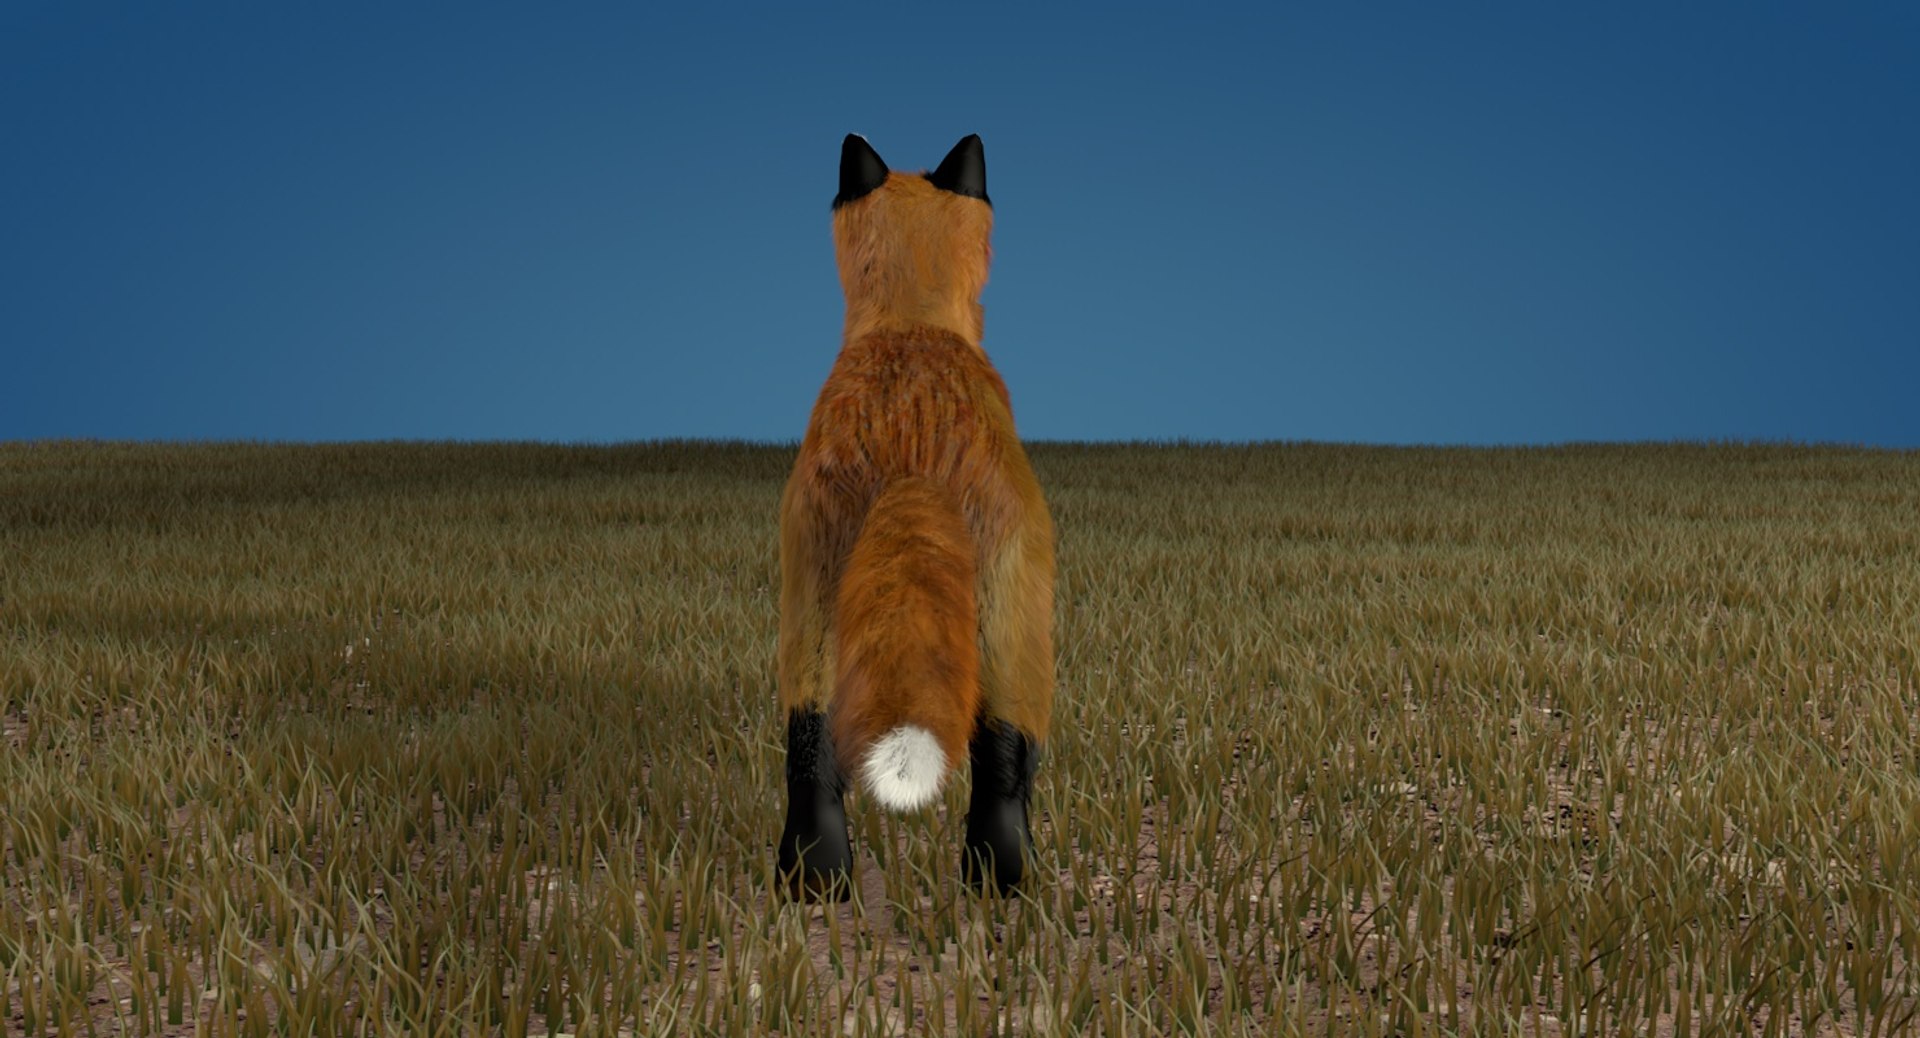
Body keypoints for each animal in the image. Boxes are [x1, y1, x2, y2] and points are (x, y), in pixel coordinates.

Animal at [776, 133, 1056, 899]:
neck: (911, 329)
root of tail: (912, 460)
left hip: (814, 595)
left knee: (809, 745)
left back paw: (814, 877)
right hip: (1011, 613)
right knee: (1004, 753)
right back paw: (1005, 876)